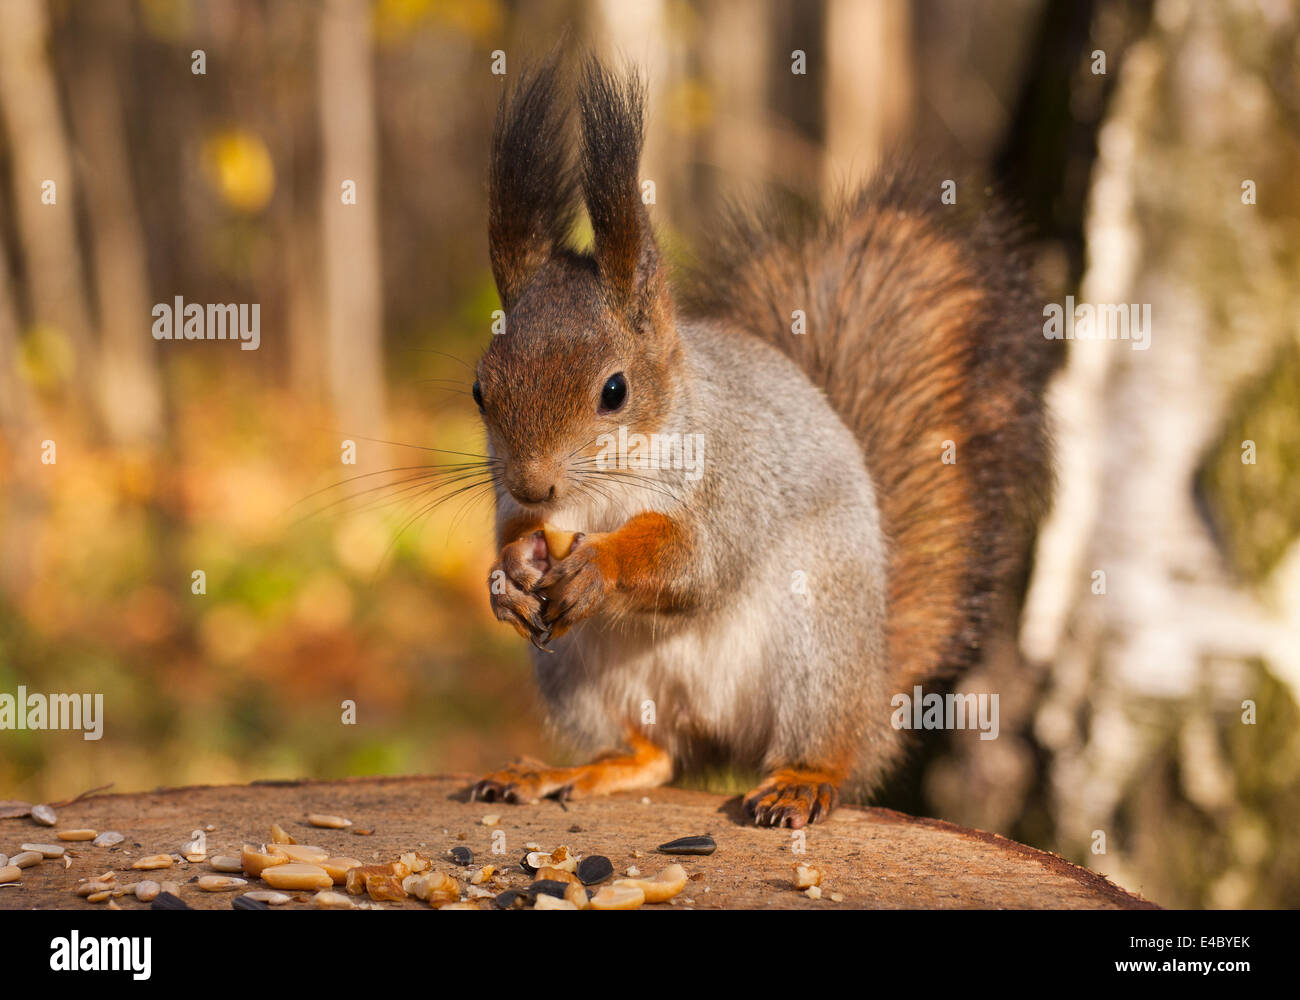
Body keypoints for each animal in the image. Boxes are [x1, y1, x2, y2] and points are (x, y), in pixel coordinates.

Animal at [466, 56, 1059, 827]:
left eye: (615, 391)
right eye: (480, 391)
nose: (534, 482)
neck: (604, 493)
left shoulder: (736, 477)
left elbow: (698, 559)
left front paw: (601, 566)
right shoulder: (520, 506)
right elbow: (515, 534)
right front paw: (507, 574)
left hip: (819, 641)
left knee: (822, 744)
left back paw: (802, 779)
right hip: (578, 673)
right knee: (654, 756)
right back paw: (573, 769)